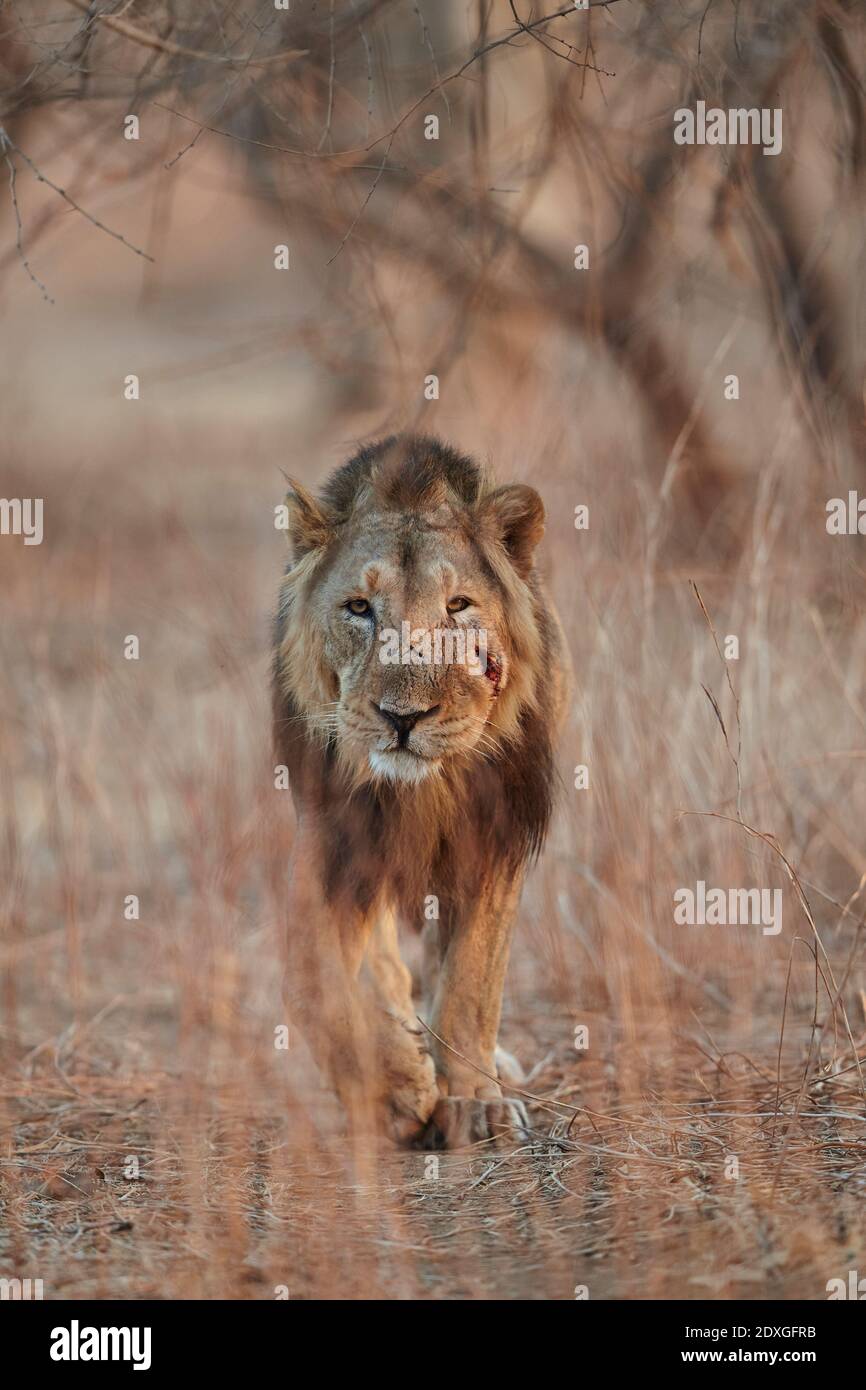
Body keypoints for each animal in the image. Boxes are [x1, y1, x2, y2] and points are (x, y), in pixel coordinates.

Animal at [272, 435, 569, 1148]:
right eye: (358, 608)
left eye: (458, 607)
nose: (402, 718)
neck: (422, 791)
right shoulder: (331, 842)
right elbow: (312, 983)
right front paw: (397, 1088)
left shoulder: (496, 839)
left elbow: (472, 983)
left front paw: (472, 1102)